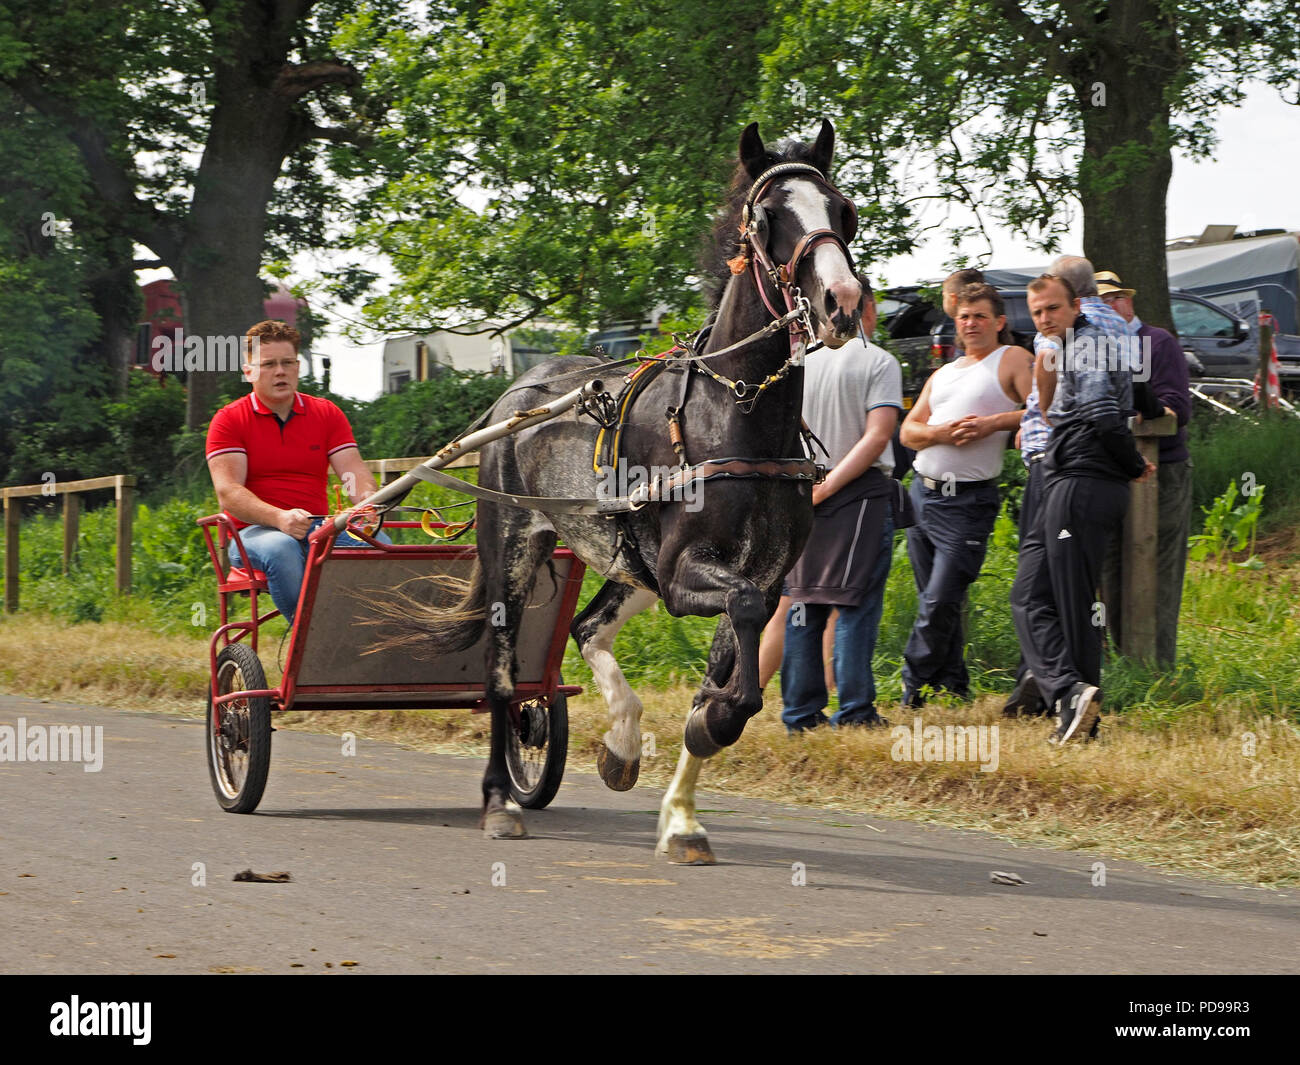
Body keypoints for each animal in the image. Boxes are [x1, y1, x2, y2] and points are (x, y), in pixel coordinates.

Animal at [385, 119, 863, 862]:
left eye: (844, 211)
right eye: (767, 219)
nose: (843, 303)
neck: (737, 417)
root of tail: (515, 395)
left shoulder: (760, 570)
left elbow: (728, 660)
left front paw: (686, 803)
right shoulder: (686, 573)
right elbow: (744, 621)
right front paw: (714, 722)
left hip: (626, 563)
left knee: (586, 627)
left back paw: (622, 743)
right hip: (515, 547)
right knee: (500, 673)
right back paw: (500, 801)